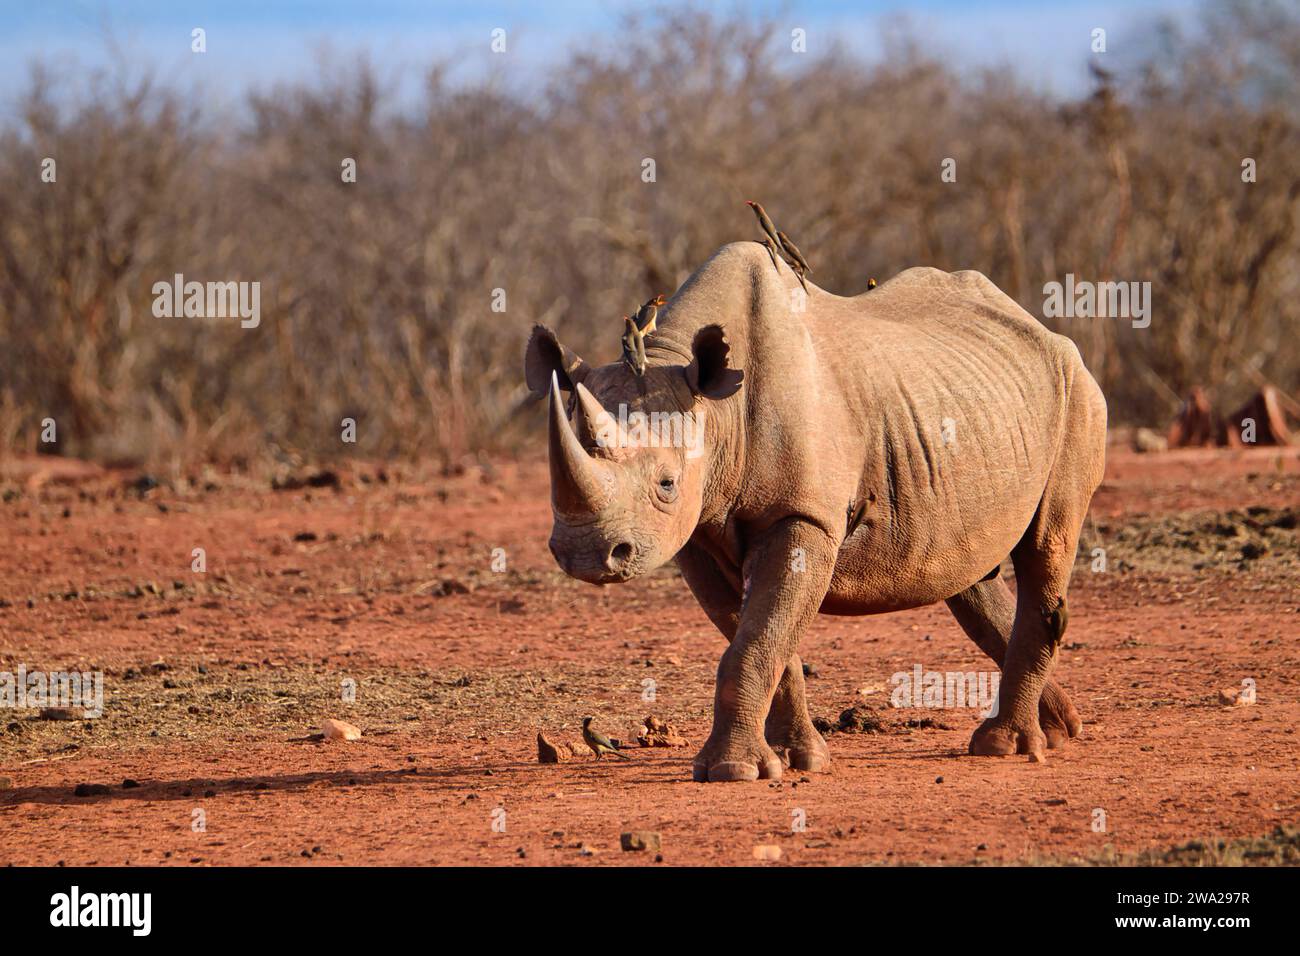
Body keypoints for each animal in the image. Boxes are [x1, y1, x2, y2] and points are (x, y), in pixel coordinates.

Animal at [525, 242, 1107, 782]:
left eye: (667, 484)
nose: (585, 555)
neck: (712, 406)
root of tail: (1044, 329)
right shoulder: (696, 532)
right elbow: (763, 636)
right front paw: (795, 759)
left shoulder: (803, 516)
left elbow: (756, 639)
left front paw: (731, 772)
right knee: (965, 570)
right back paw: (1060, 729)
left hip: (1077, 391)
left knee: (1045, 547)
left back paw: (1005, 745)